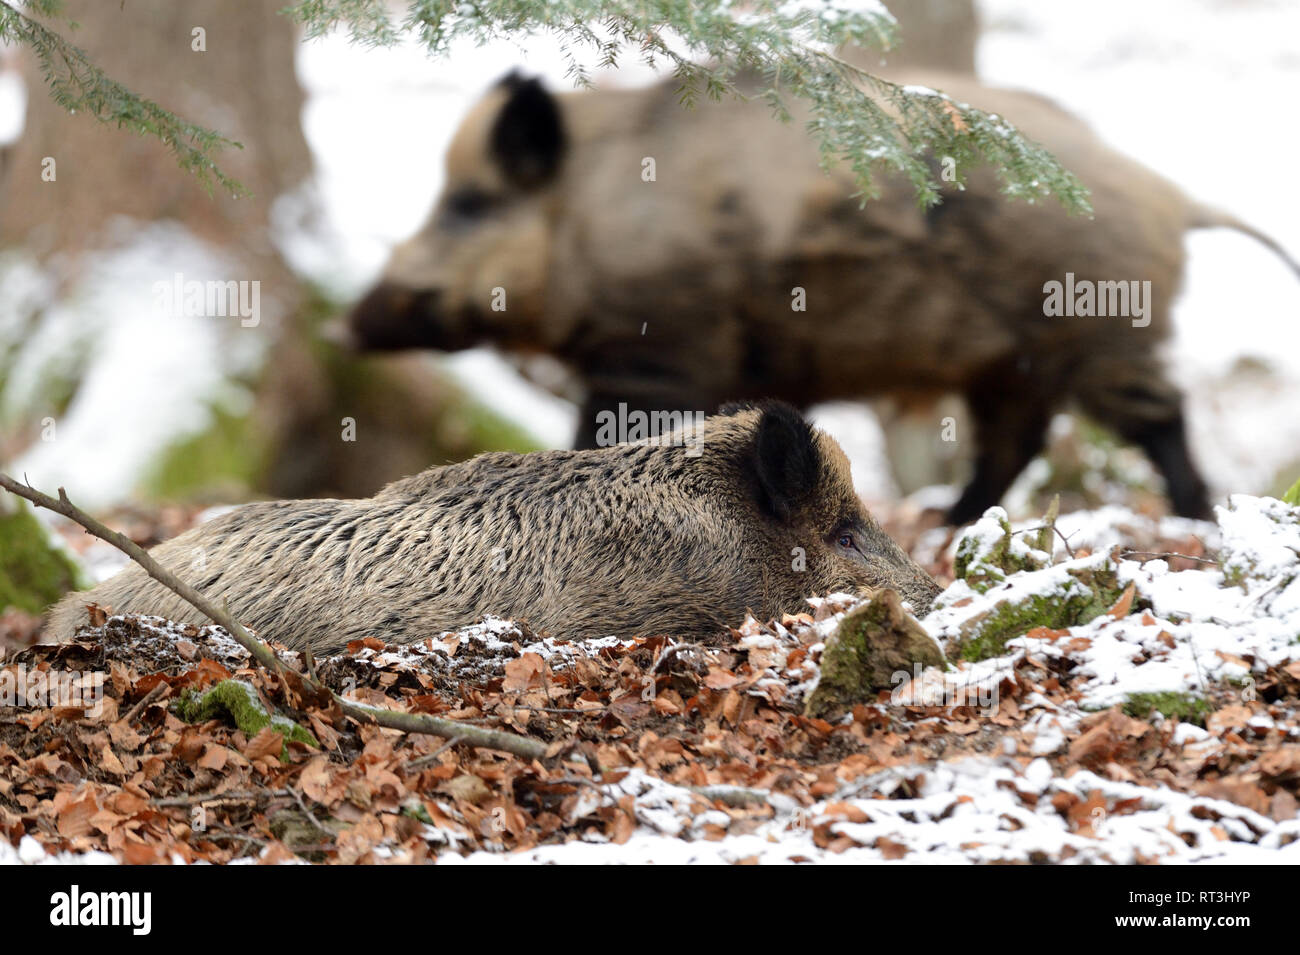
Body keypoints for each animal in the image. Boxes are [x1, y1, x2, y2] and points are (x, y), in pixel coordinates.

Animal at [348, 70, 1300, 525]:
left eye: (468, 204)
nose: (356, 321)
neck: (589, 217)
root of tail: (1176, 198)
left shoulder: (655, 352)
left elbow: (600, 435)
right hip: (1017, 363)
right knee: (1016, 443)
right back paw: (952, 520)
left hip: (1100, 332)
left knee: (1157, 416)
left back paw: (1196, 519)